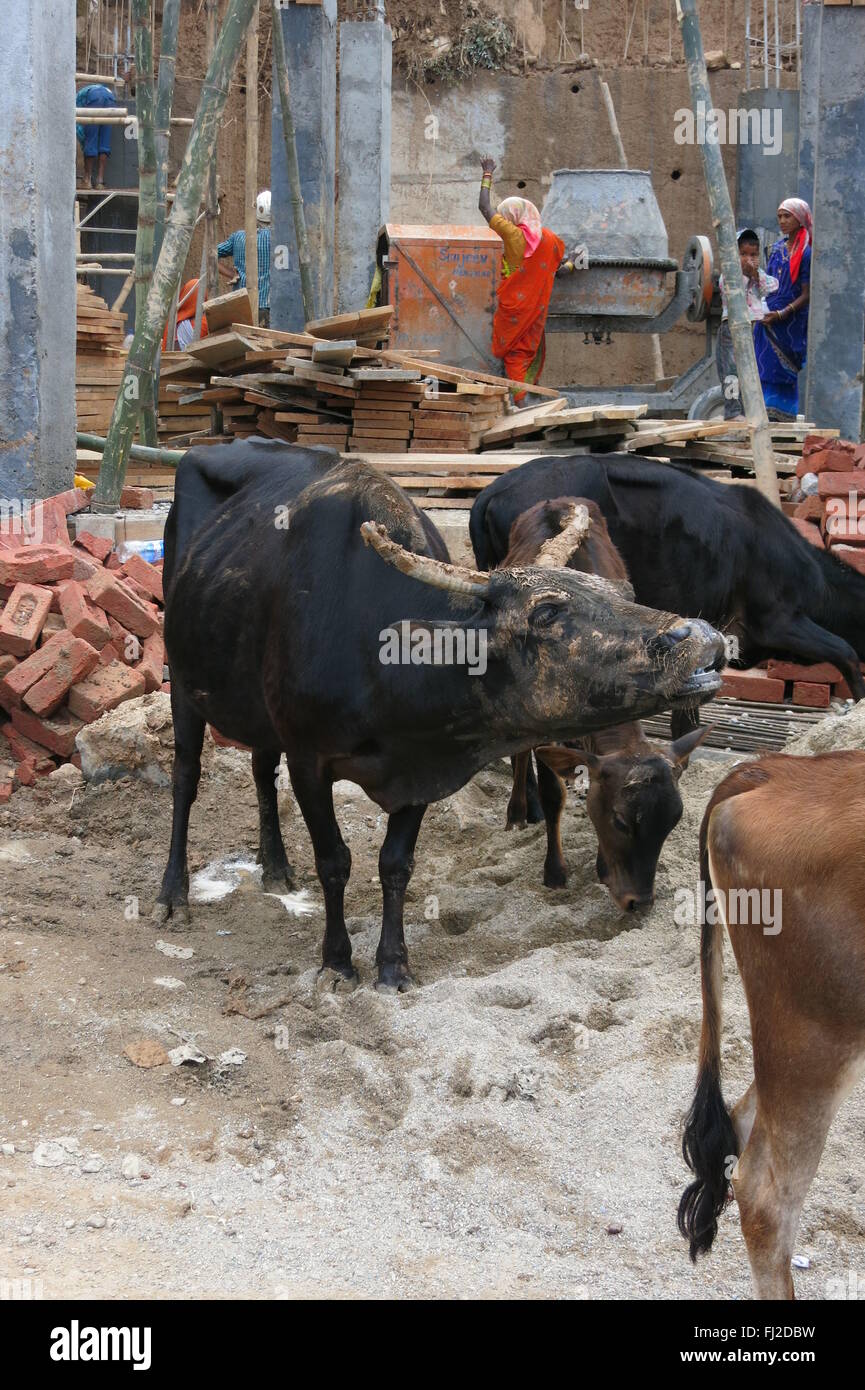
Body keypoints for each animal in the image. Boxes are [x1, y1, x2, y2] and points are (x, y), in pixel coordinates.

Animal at [500, 497, 705, 910]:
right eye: (622, 821)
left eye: (674, 821)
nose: (639, 902)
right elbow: (553, 794)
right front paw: (555, 871)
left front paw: (599, 866)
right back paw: (518, 810)